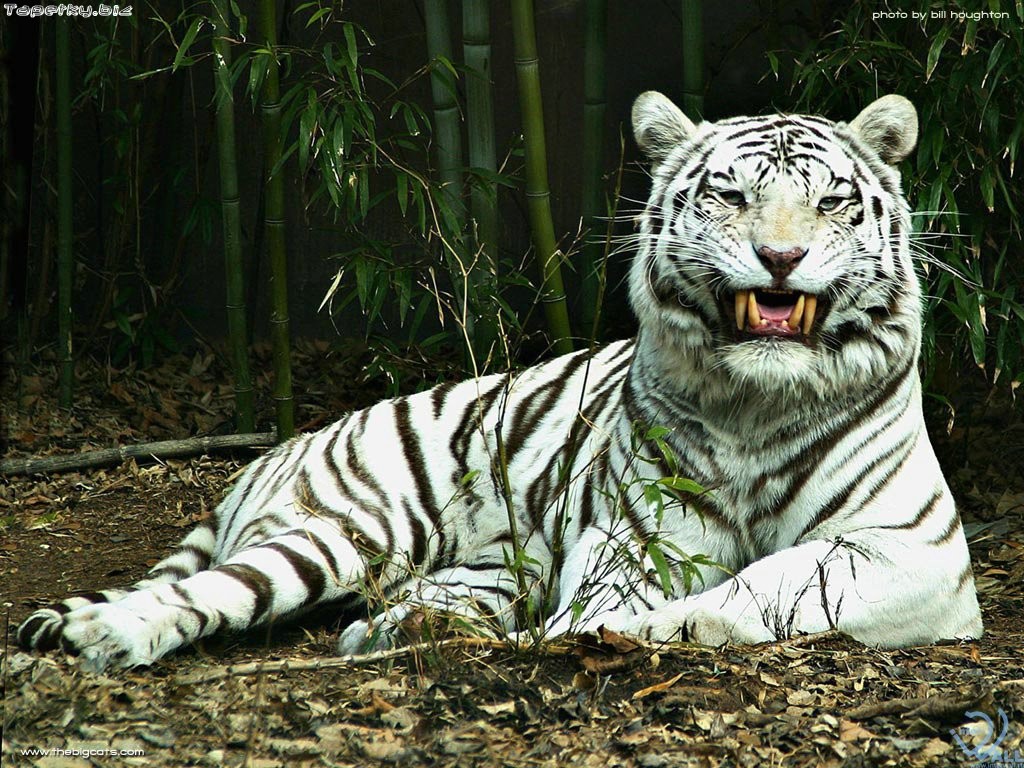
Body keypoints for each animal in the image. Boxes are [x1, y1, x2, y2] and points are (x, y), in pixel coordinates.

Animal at [17, 91, 983, 672]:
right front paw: (588, 632)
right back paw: (110, 634)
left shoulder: (909, 549)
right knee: (218, 588)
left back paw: (404, 630)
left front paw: (611, 633)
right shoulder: (635, 538)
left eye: (830, 202)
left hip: (471, 567)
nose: (780, 257)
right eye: (729, 195)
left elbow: (760, 591)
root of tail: (278, 448)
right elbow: (646, 596)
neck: (756, 399)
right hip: (342, 531)